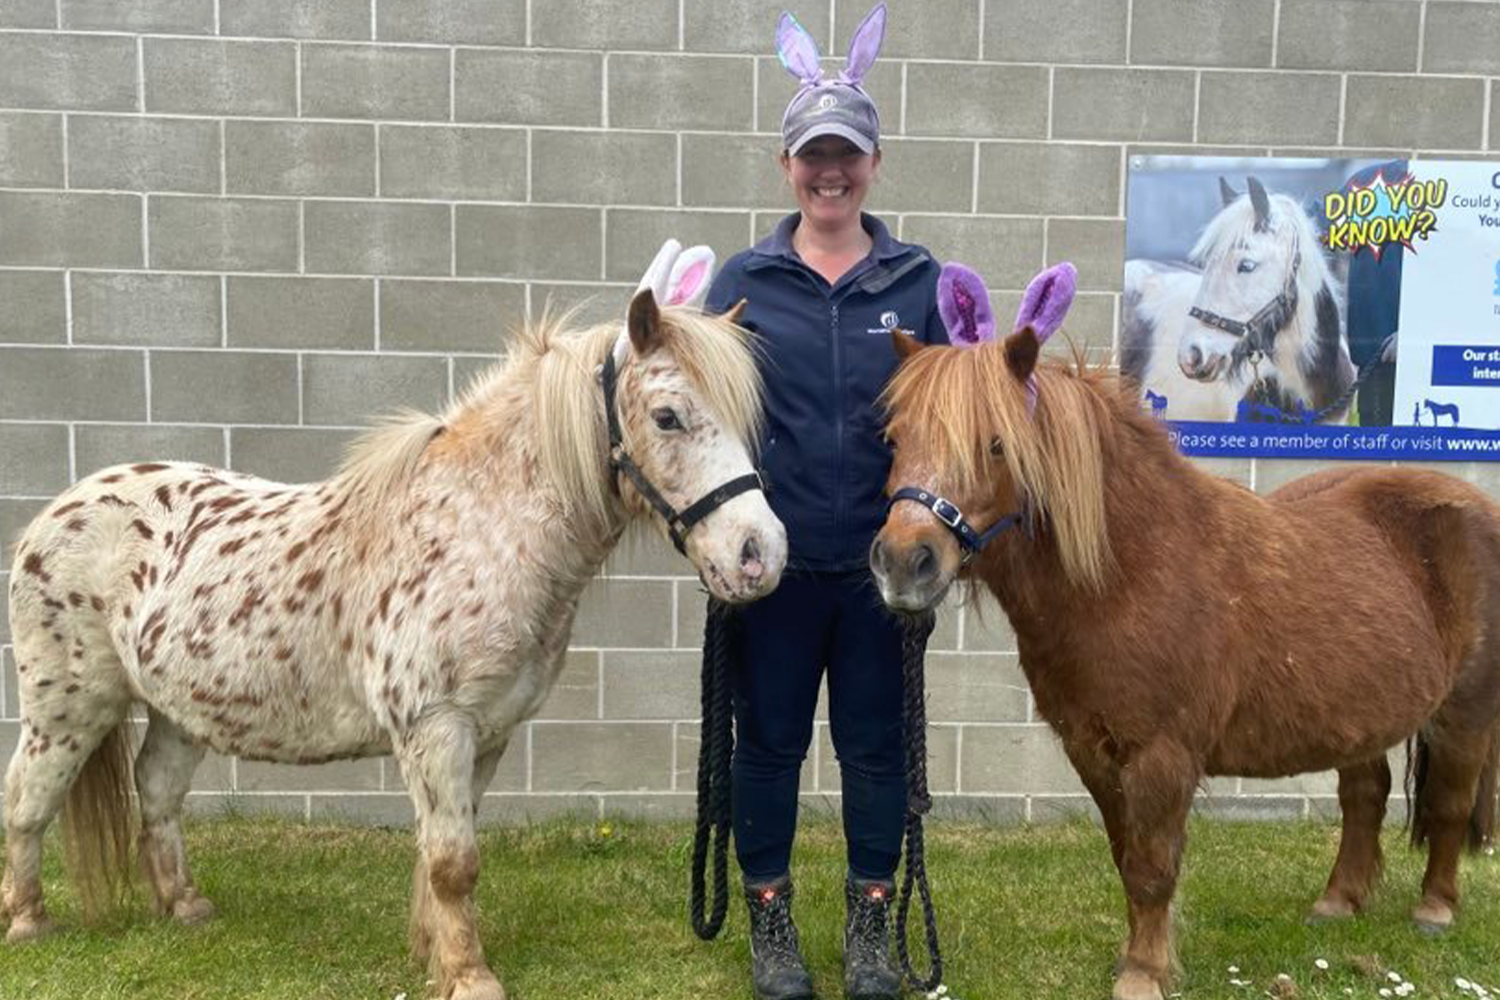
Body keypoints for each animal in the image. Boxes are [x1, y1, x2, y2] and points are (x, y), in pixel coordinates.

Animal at [1, 240, 787, 1000]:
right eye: (667, 416)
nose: (760, 554)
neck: (477, 530)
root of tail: (59, 509)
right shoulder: (434, 728)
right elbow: (452, 860)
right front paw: (470, 977)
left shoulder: (487, 734)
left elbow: (447, 856)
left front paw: (433, 953)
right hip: (66, 708)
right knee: (28, 798)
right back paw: (30, 921)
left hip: (180, 709)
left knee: (157, 790)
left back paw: (186, 907)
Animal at [871, 262, 1500, 1000]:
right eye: (895, 439)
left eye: (996, 444)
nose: (902, 564)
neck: (1132, 569)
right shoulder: (1092, 751)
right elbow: (1127, 857)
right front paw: (1138, 957)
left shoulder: (1162, 755)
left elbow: (1152, 868)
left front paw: (1143, 973)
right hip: (1358, 715)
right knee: (1364, 797)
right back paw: (1337, 903)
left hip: (1464, 712)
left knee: (1451, 803)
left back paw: (1435, 909)